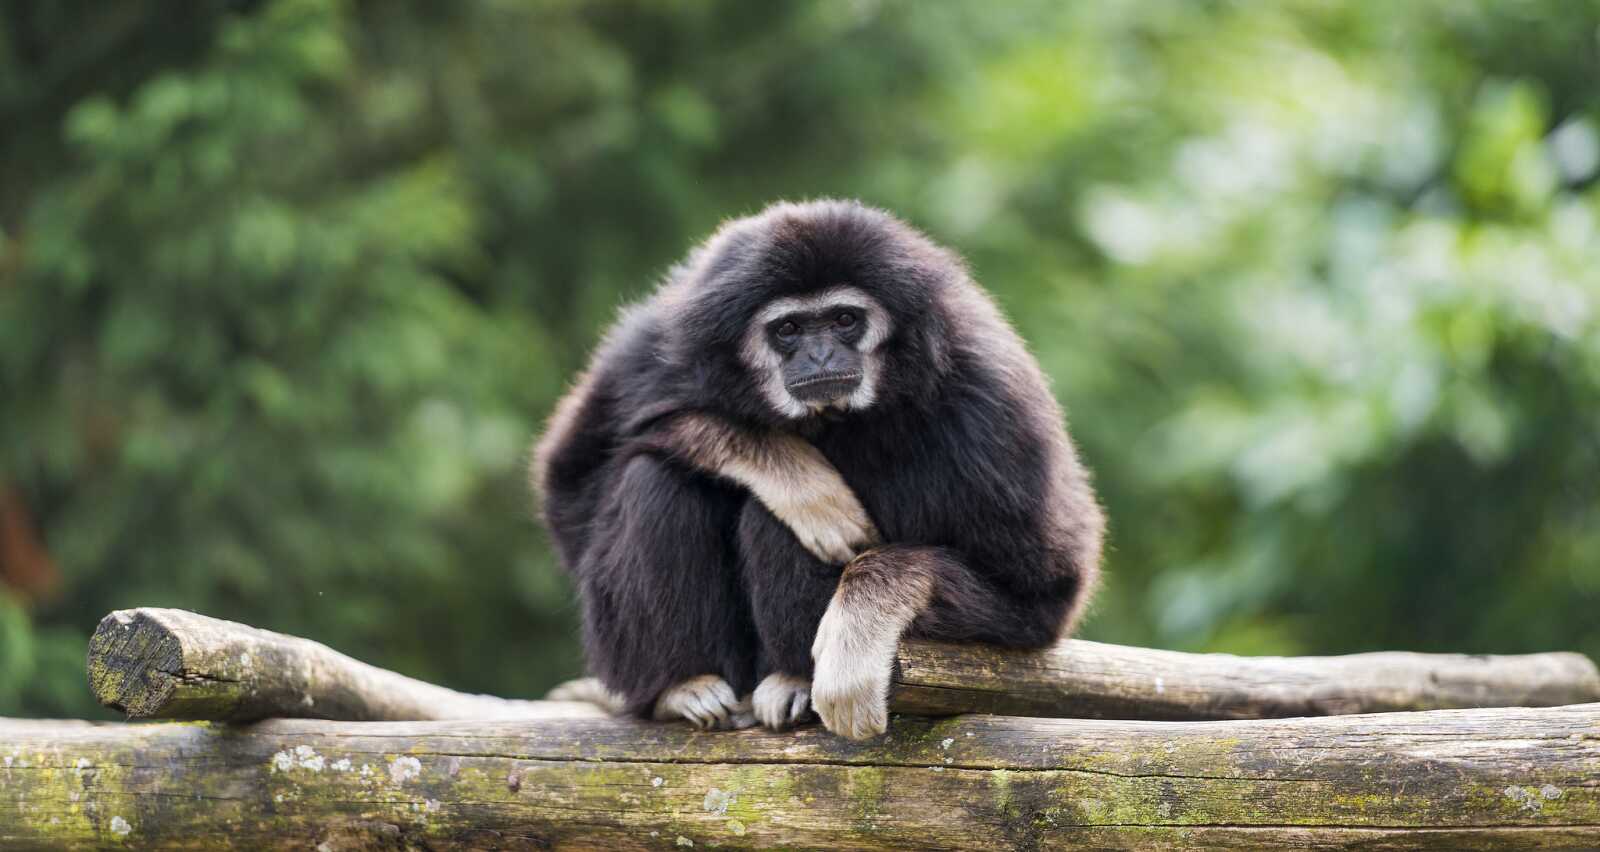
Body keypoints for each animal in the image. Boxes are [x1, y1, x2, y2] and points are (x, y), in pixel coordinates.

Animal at [533, 199, 1104, 739]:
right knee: (653, 478)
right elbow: (573, 485)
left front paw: (861, 620)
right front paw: (800, 480)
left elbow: (1037, 594)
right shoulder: (652, 344)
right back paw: (682, 686)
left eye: (845, 320)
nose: (822, 354)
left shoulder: (991, 402)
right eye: (788, 329)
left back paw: (791, 679)